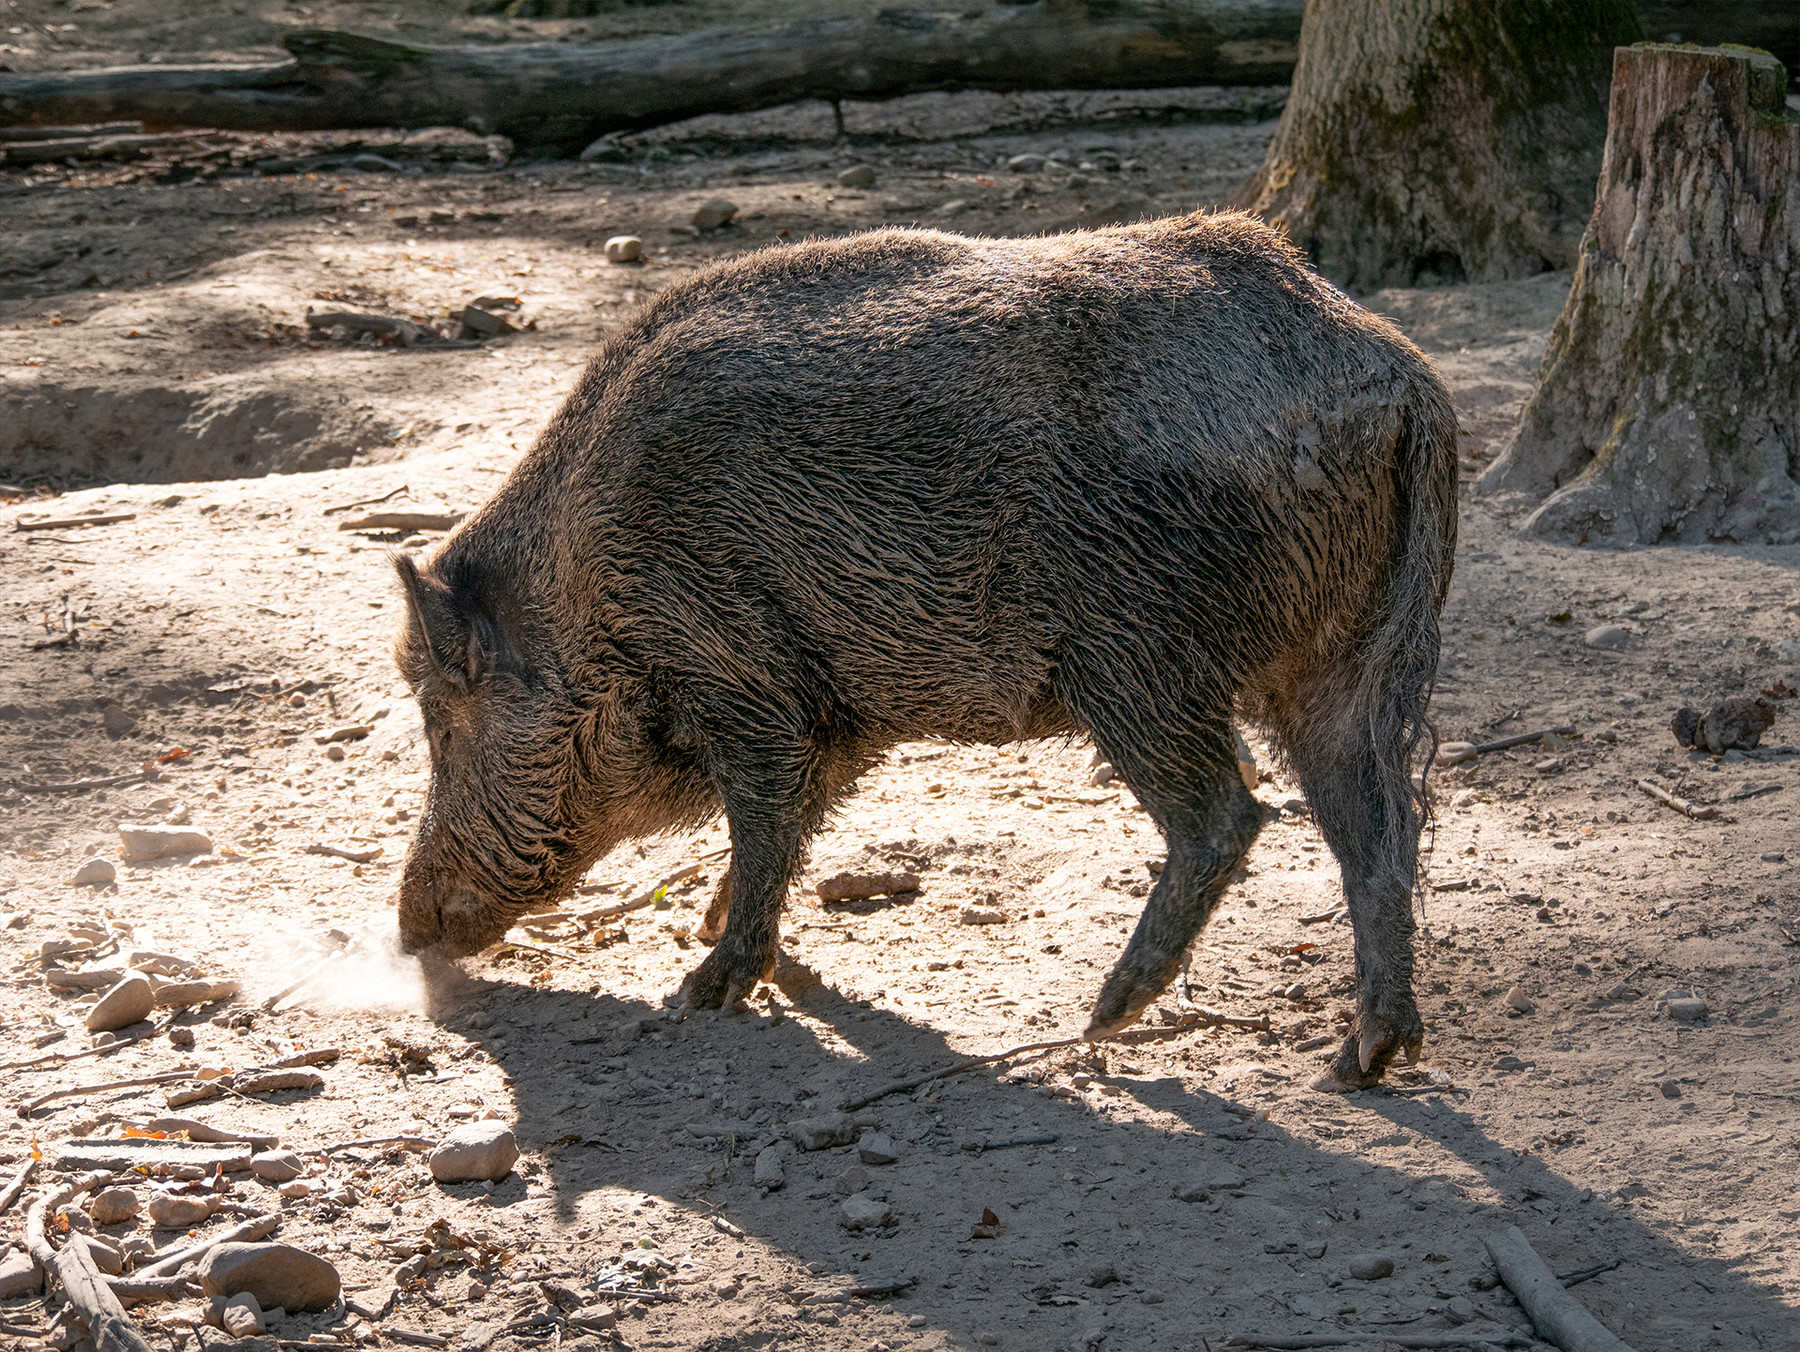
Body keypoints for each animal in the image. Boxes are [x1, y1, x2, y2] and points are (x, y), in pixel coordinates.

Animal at [393, 209, 1457, 1092]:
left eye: (444, 728)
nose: (405, 930)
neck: (591, 586)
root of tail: (1398, 373)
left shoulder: (743, 678)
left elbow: (765, 823)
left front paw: (700, 990)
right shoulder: (834, 712)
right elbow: (794, 824)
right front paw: (721, 933)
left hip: (1137, 654)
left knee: (1230, 815)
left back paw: (1104, 1020)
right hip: (1337, 660)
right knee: (1378, 828)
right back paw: (1363, 1058)